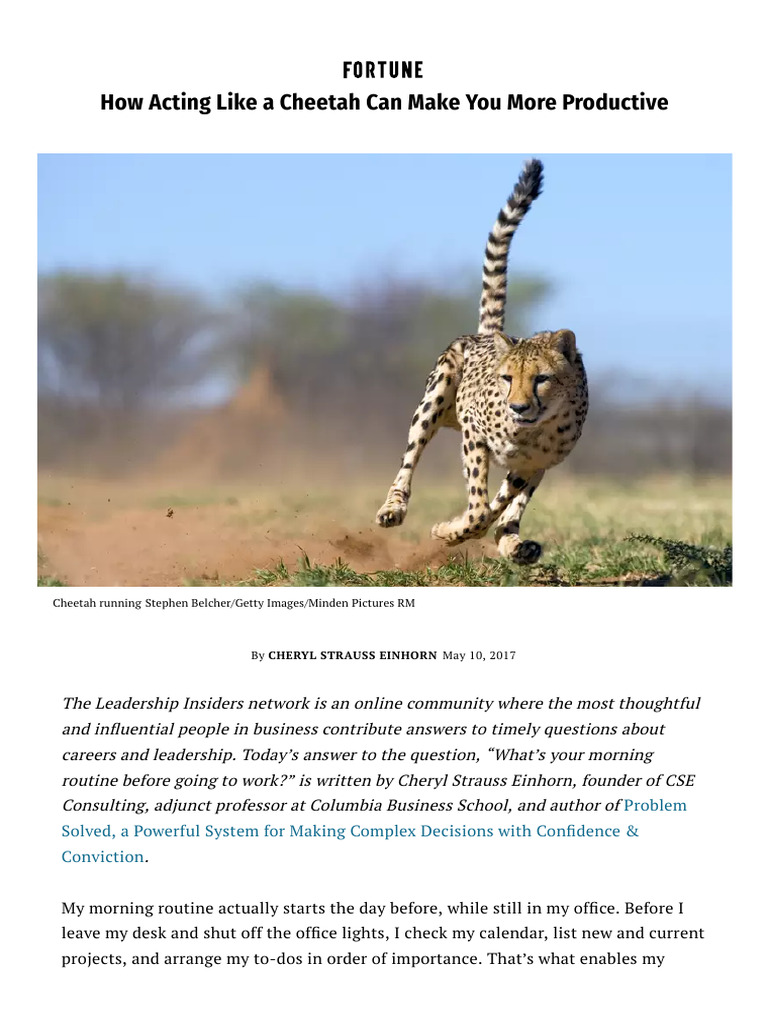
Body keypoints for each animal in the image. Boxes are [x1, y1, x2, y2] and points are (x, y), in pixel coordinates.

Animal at [375, 159, 588, 563]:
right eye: (507, 378)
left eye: (541, 379)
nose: (518, 406)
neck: (532, 428)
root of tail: (489, 334)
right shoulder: (474, 431)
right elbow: (478, 508)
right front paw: (451, 531)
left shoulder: (533, 463)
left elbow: (497, 505)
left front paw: (462, 531)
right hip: (435, 397)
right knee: (410, 458)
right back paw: (394, 508)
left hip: (534, 467)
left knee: (508, 507)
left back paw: (515, 543)